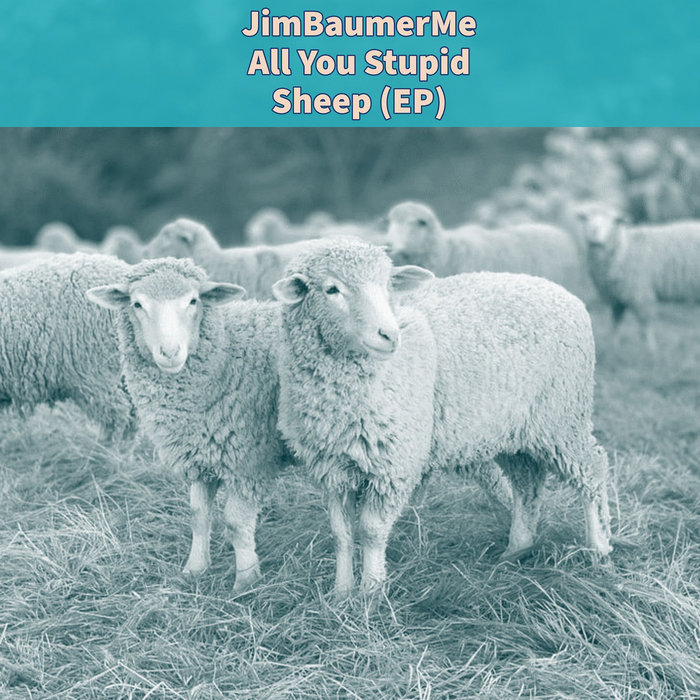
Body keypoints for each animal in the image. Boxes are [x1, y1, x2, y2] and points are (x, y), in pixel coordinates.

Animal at [86, 257, 288, 591]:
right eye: (137, 304)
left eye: (193, 300)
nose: (170, 353)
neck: (228, 355)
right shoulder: (199, 453)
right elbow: (198, 515)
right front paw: (195, 569)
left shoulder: (249, 460)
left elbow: (235, 522)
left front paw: (246, 580)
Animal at [273, 239, 611, 596]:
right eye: (331, 289)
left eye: (388, 284)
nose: (389, 335)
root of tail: (564, 293)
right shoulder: (332, 468)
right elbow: (341, 534)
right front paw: (340, 594)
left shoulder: (395, 465)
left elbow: (371, 531)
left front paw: (371, 593)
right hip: (516, 429)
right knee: (527, 484)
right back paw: (517, 548)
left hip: (562, 418)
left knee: (592, 470)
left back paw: (598, 549)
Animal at [575, 202, 700, 352]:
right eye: (587, 219)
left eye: (614, 221)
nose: (594, 232)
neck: (624, 249)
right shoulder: (616, 297)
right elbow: (615, 322)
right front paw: (613, 344)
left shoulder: (641, 294)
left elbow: (645, 326)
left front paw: (650, 349)